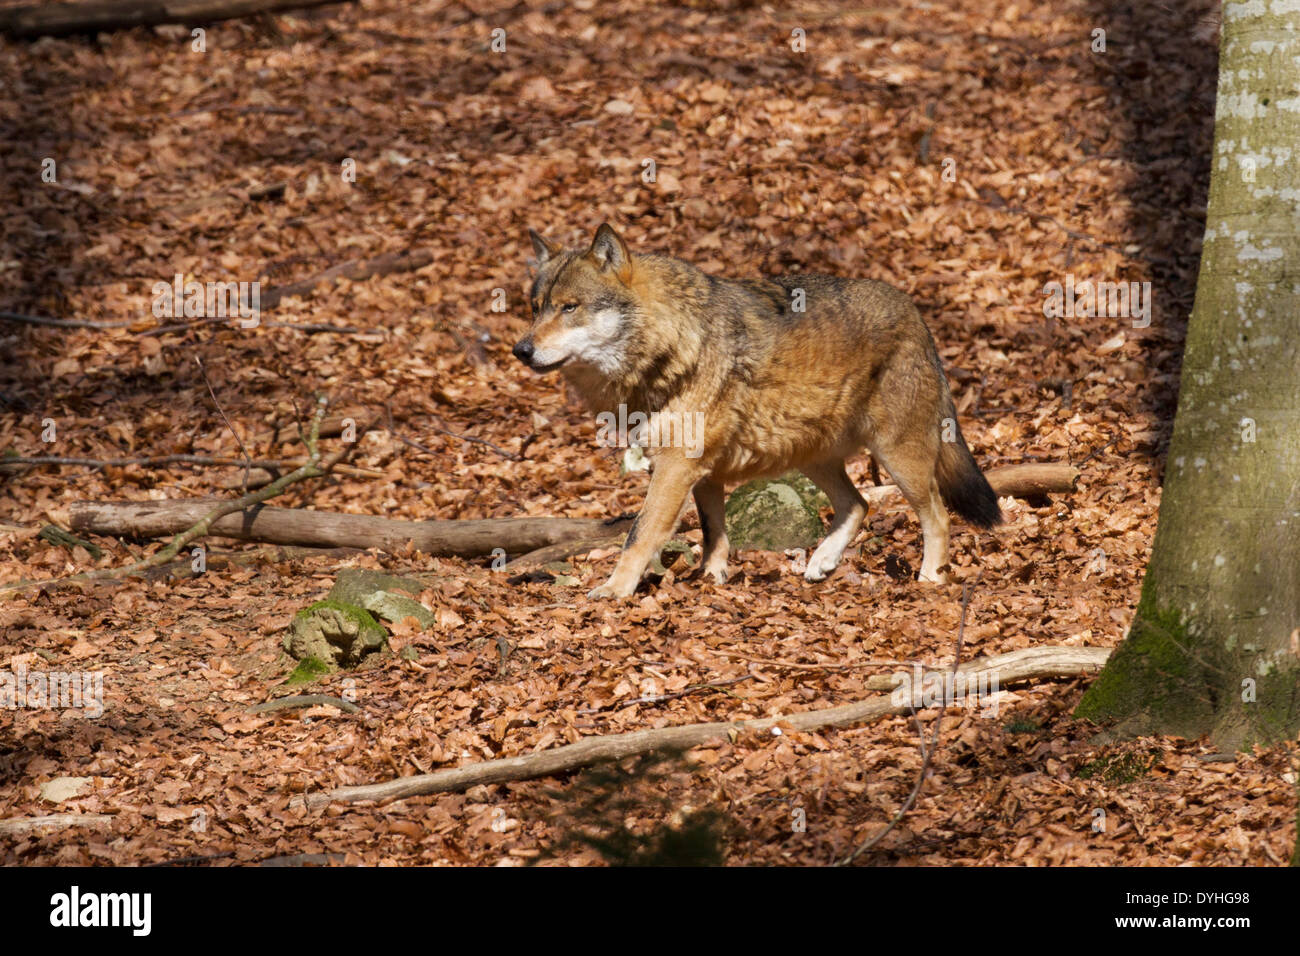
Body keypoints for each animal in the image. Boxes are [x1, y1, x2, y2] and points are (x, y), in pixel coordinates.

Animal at [512, 223, 1000, 599]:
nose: (521, 350)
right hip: (813, 457)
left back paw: (930, 577)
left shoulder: (675, 466)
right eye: (535, 309)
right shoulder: (703, 472)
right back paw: (822, 562)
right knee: (859, 504)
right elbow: (714, 532)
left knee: (937, 514)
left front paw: (614, 590)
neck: (669, 348)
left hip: (899, 458)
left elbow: (639, 533)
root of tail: (917, 314)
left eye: (570, 307)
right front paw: (711, 580)